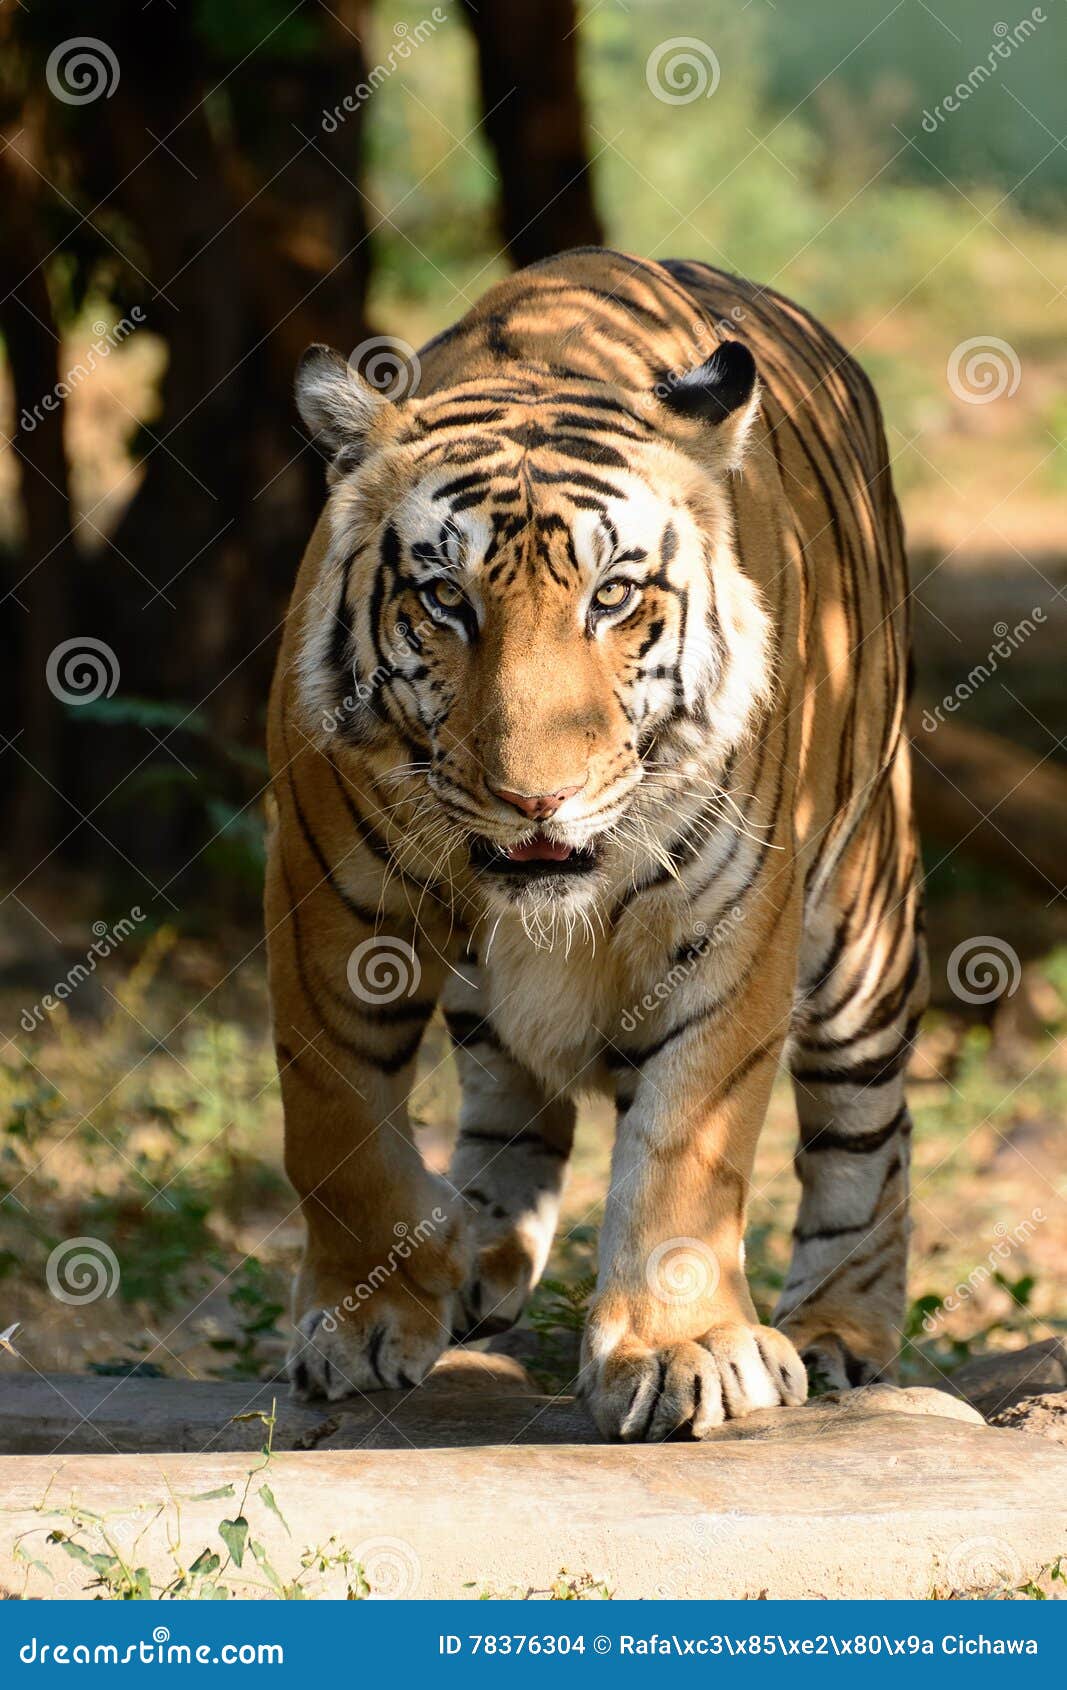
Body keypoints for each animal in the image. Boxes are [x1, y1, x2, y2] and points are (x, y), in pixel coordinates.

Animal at [265, 246, 928, 1442]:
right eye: (445, 599)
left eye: (612, 597)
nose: (538, 799)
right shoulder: (324, 905)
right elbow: (336, 1126)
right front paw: (371, 1320)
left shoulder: (730, 928)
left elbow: (685, 1148)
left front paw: (679, 1351)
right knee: (504, 1085)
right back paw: (474, 1248)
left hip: (862, 930)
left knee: (867, 1136)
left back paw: (838, 1330)